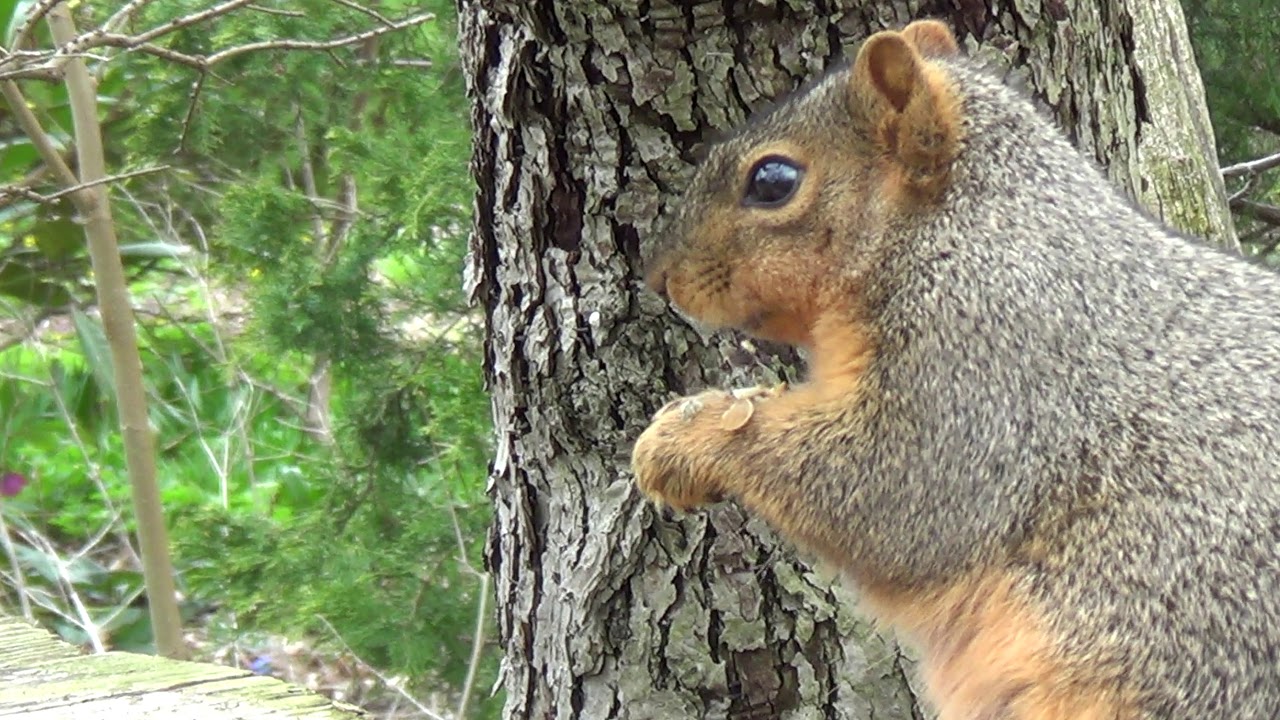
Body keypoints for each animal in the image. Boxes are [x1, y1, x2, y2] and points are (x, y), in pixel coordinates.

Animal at [631, 19, 1280, 720]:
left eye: (773, 180)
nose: (658, 276)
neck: (964, 227)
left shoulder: (983, 360)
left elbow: (892, 488)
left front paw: (683, 440)